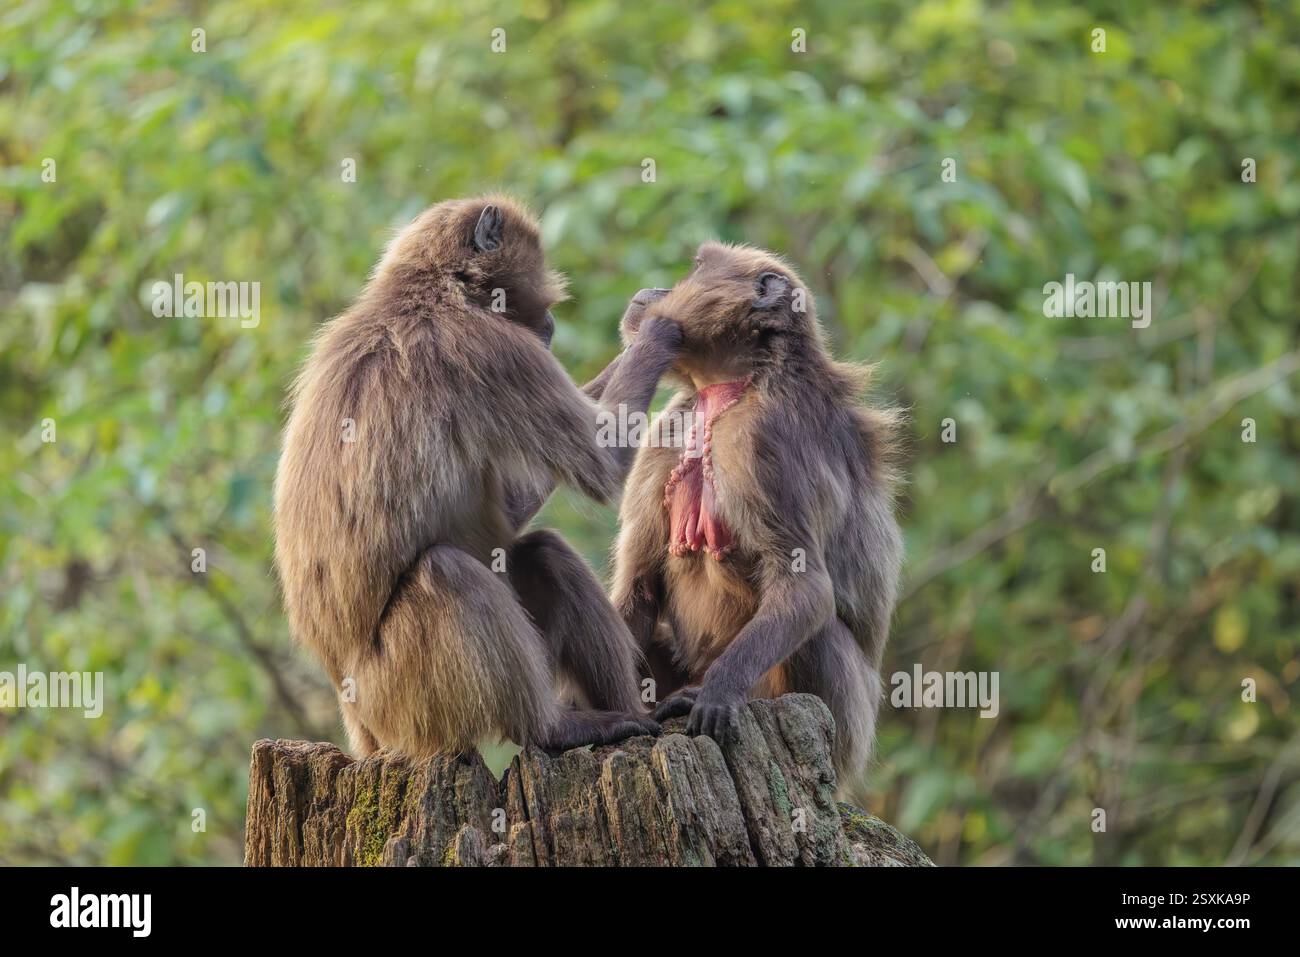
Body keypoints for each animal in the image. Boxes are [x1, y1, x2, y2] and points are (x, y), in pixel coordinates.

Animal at [273, 194, 684, 760]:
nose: (550, 325)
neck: (429, 293)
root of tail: (357, 722)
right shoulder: (494, 351)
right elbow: (603, 462)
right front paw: (658, 328)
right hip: (401, 701)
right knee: (447, 572)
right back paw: (553, 729)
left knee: (542, 553)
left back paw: (629, 713)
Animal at [610, 241, 902, 787]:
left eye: (695, 267)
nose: (651, 291)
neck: (735, 388)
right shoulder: (669, 430)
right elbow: (638, 588)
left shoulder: (763, 441)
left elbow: (807, 587)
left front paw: (716, 693)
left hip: (847, 721)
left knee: (818, 627)